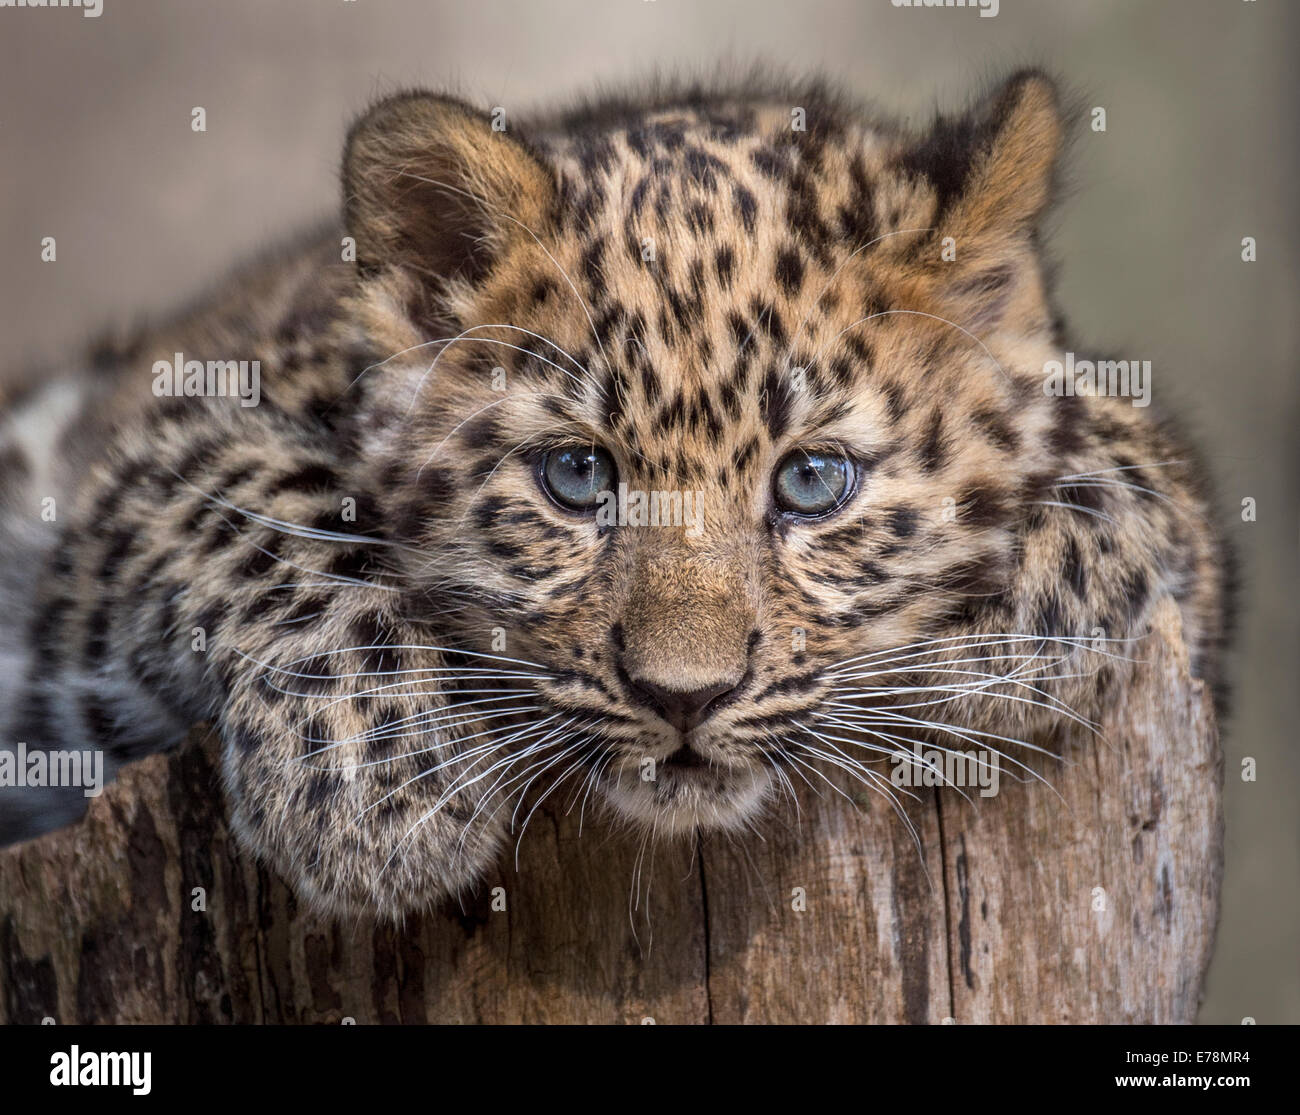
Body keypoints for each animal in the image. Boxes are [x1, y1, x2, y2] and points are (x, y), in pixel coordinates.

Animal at [0, 70, 1229, 919]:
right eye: (578, 477)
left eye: (811, 482)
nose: (685, 696)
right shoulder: (113, 503)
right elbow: (262, 503)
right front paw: (376, 782)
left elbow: (1134, 451)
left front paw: (1013, 634)